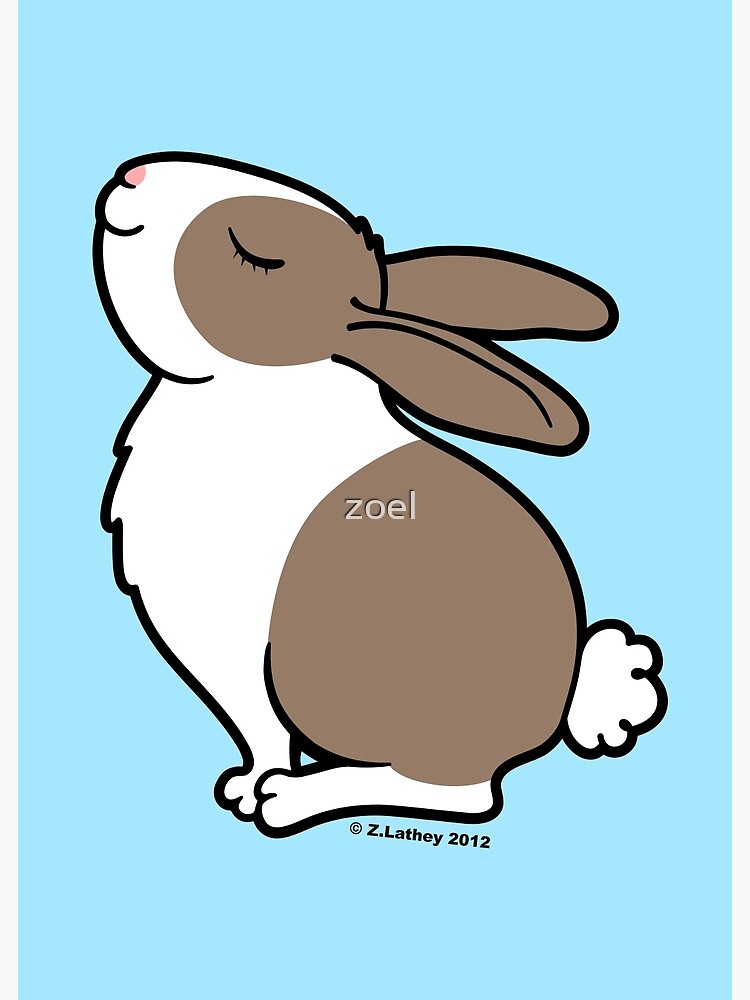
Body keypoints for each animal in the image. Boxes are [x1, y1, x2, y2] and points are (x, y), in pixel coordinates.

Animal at [95, 152, 667, 837]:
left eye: (257, 256)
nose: (133, 177)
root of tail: (558, 708)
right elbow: (258, 739)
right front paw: (243, 787)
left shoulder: (238, 655)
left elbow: (264, 732)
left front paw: (264, 793)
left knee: (461, 794)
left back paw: (300, 798)